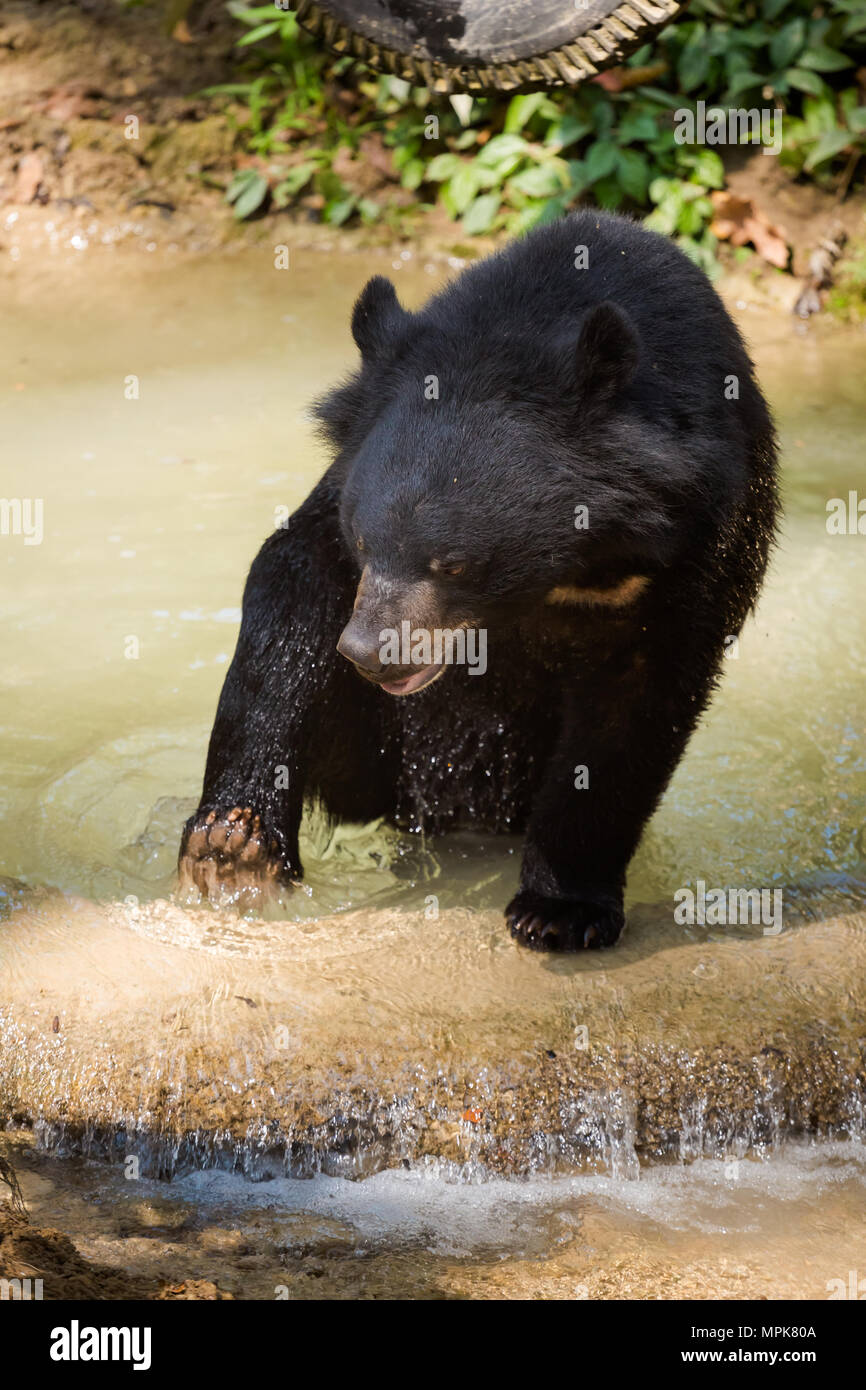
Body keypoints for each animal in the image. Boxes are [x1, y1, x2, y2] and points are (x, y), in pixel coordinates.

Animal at [179, 209, 778, 950]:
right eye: (364, 543)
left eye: (455, 564)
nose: (370, 654)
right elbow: (293, 590)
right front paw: (233, 846)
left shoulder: (695, 545)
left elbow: (637, 707)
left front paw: (559, 910)